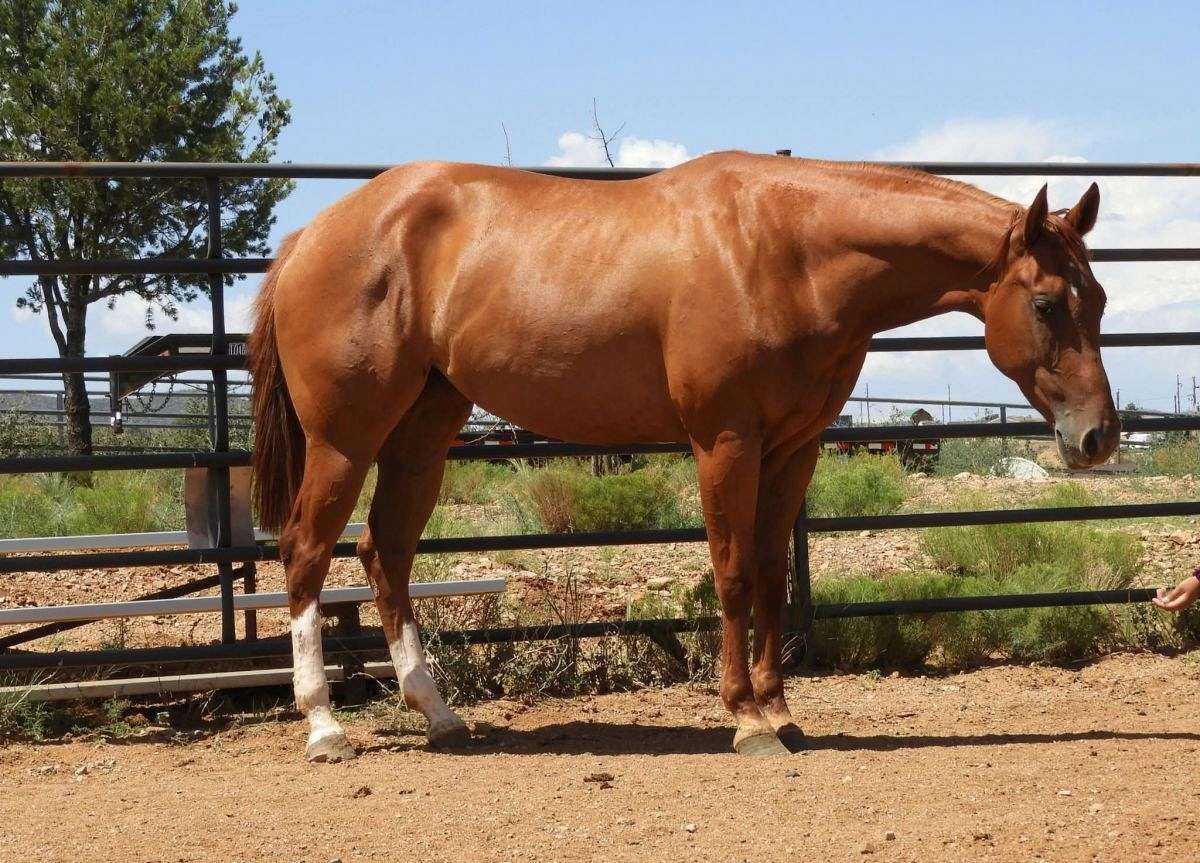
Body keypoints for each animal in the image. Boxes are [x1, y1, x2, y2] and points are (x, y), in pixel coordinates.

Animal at [248, 152, 1119, 761]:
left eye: (1101, 298)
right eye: (1047, 302)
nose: (1098, 437)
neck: (786, 253)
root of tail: (309, 237)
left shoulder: (793, 447)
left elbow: (770, 574)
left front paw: (781, 711)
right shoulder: (724, 441)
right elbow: (731, 573)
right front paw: (746, 719)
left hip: (423, 433)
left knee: (385, 551)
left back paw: (439, 714)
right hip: (344, 438)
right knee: (307, 550)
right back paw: (324, 724)